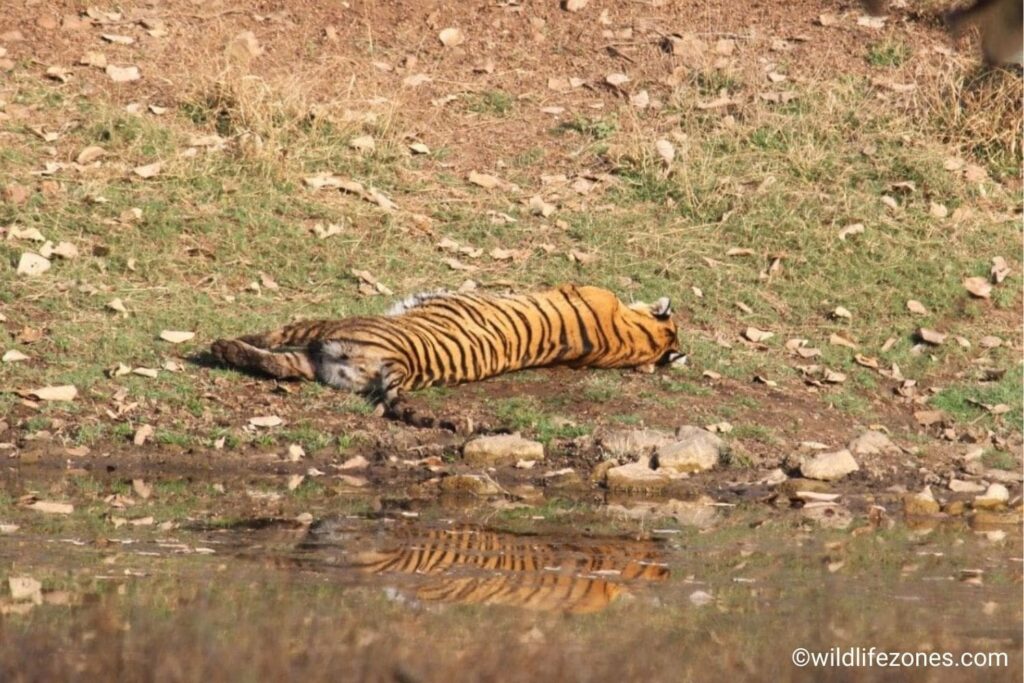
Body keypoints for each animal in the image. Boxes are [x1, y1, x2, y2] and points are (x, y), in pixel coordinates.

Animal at [210, 284, 684, 412]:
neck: (638, 338)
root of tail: (399, 364)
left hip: (330, 329)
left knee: (273, 339)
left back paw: (217, 347)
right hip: (319, 361)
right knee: (279, 365)